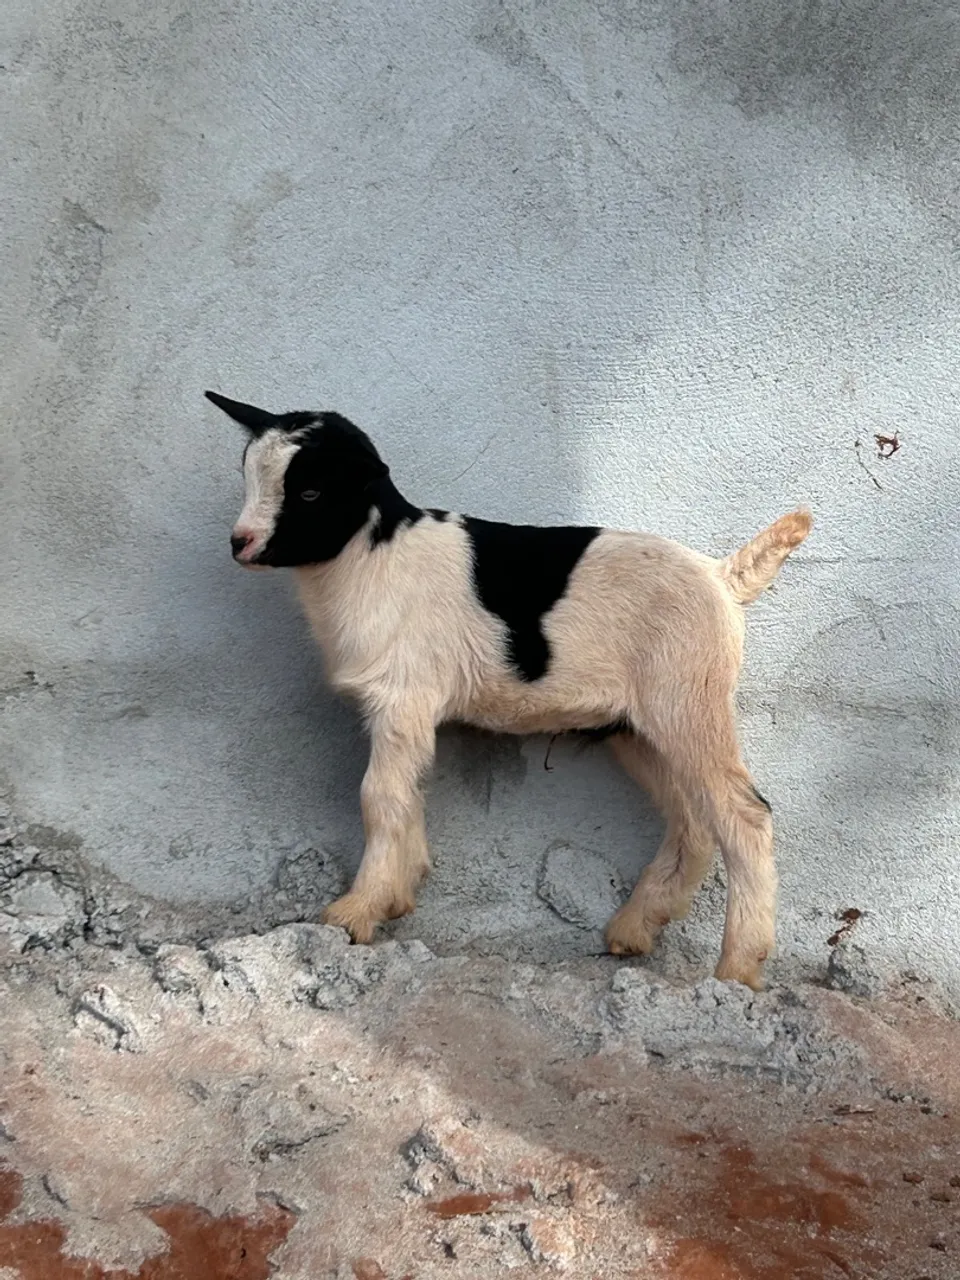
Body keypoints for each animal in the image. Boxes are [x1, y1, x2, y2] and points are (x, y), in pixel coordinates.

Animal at [207, 390, 811, 989]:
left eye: (310, 490)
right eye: (249, 474)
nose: (241, 544)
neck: (374, 557)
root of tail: (721, 578)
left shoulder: (402, 699)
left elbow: (379, 796)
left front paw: (356, 913)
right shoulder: (411, 712)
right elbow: (410, 792)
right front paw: (398, 894)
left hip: (688, 699)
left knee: (744, 815)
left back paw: (737, 970)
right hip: (639, 728)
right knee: (693, 821)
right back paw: (636, 927)